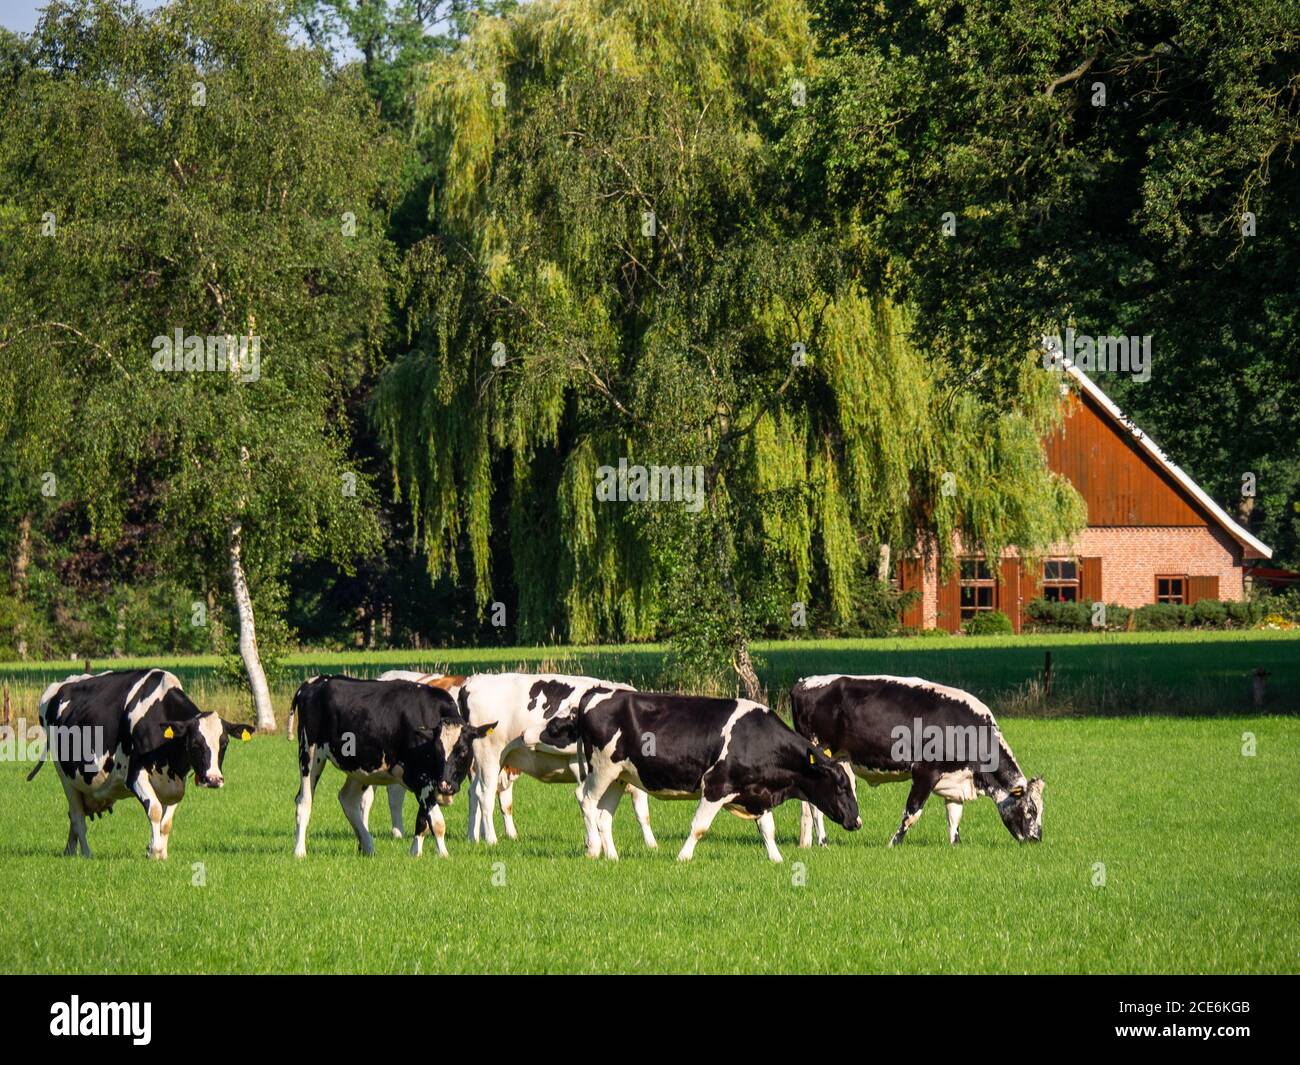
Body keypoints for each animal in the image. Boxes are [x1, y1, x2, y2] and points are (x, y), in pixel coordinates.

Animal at [27, 669, 252, 860]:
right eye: (195, 743)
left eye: (224, 743)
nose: (213, 779)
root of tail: (58, 686)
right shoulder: (135, 774)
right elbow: (155, 810)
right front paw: (154, 852)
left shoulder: (176, 782)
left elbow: (166, 822)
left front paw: (162, 853)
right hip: (65, 775)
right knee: (77, 816)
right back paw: (87, 854)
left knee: (75, 816)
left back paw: (70, 851)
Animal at [288, 675, 492, 859]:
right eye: (437, 751)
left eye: (463, 751)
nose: (446, 785)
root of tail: (312, 683)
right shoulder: (418, 777)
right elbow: (437, 822)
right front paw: (443, 854)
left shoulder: (428, 783)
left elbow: (422, 821)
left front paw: (415, 853)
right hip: (309, 753)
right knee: (304, 801)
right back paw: (299, 851)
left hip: (359, 769)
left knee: (347, 800)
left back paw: (368, 846)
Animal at [458, 673, 656, 848]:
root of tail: (475, 680)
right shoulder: (583, 766)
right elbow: (588, 802)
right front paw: (592, 842)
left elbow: (642, 813)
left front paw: (651, 845)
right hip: (489, 756)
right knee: (485, 795)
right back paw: (491, 840)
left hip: (483, 763)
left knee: (473, 793)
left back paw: (473, 838)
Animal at [539, 691, 861, 862]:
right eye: (841, 785)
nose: (857, 821)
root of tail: (596, 694)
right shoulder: (716, 786)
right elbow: (699, 827)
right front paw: (683, 857)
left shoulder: (757, 793)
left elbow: (767, 830)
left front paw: (777, 859)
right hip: (601, 768)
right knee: (585, 800)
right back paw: (594, 849)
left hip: (619, 776)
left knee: (603, 814)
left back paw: (613, 856)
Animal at [790, 674, 1045, 847]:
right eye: (1030, 810)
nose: (1036, 839)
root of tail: (803, 683)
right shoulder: (925, 772)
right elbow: (912, 813)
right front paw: (893, 844)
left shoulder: (955, 780)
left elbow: (954, 815)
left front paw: (955, 845)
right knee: (815, 804)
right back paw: (823, 841)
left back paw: (807, 843)